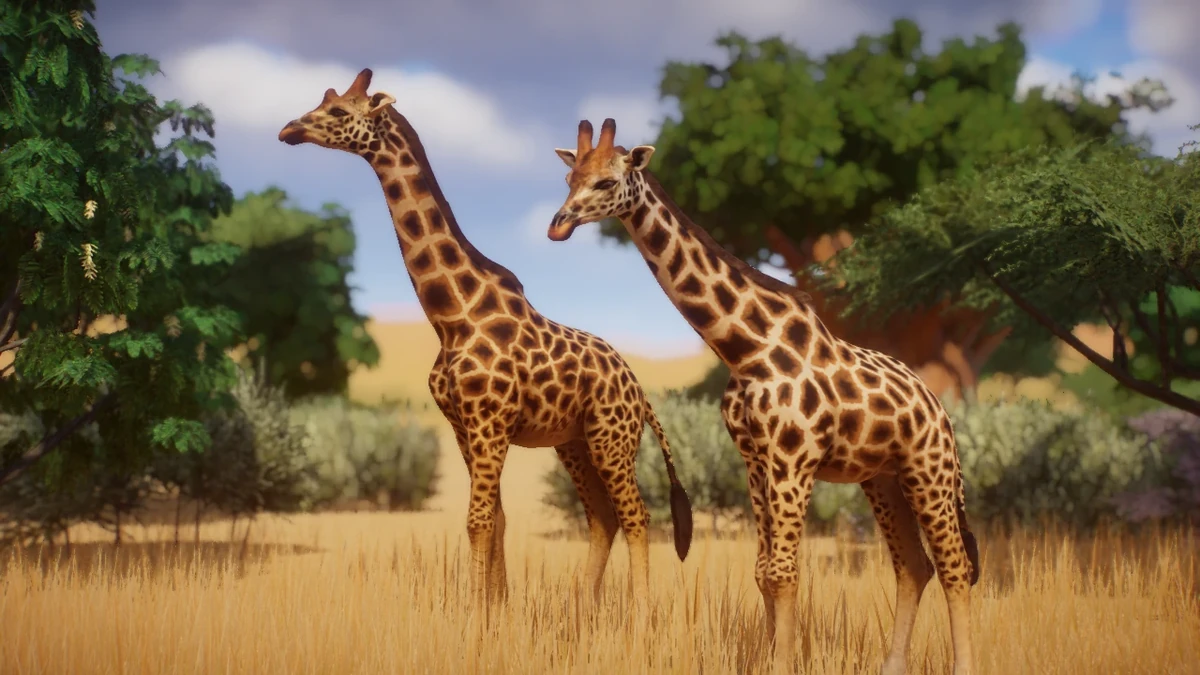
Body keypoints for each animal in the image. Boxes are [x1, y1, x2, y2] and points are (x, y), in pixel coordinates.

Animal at [277, 72, 694, 615]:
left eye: (341, 112)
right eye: (323, 100)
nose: (288, 129)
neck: (452, 317)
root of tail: (639, 390)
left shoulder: (489, 422)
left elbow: (478, 520)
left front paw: (476, 613)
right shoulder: (463, 426)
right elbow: (495, 520)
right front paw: (499, 608)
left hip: (612, 437)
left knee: (637, 516)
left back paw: (639, 613)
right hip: (574, 442)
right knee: (602, 517)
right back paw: (583, 610)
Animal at [545, 118, 981, 675]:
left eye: (606, 181)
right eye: (569, 178)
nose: (557, 226)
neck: (747, 349)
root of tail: (940, 409)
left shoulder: (794, 459)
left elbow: (783, 572)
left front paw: (784, 661)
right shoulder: (755, 459)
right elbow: (762, 569)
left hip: (930, 472)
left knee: (955, 566)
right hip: (882, 479)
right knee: (913, 566)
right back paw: (891, 667)